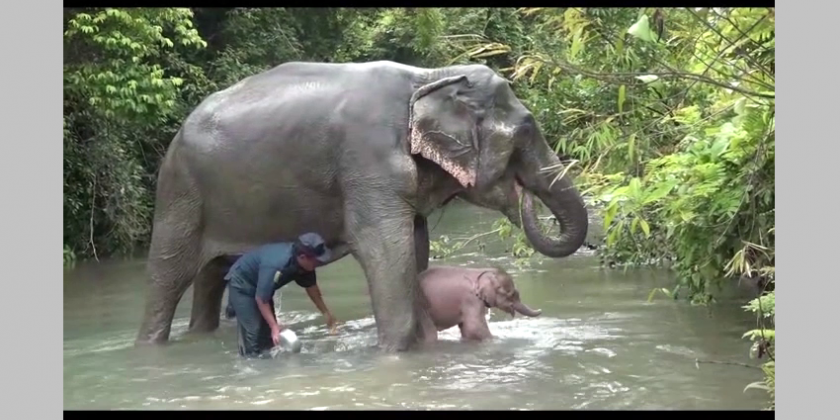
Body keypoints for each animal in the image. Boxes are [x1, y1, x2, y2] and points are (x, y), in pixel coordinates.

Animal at [135, 60, 589, 352]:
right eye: (525, 131)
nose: (523, 193)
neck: (430, 76)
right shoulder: (368, 164)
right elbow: (386, 251)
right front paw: (395, 354)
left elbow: (415, 249)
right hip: (179, 193)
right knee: (168, 277)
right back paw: (151, 345)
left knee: (212, 276)